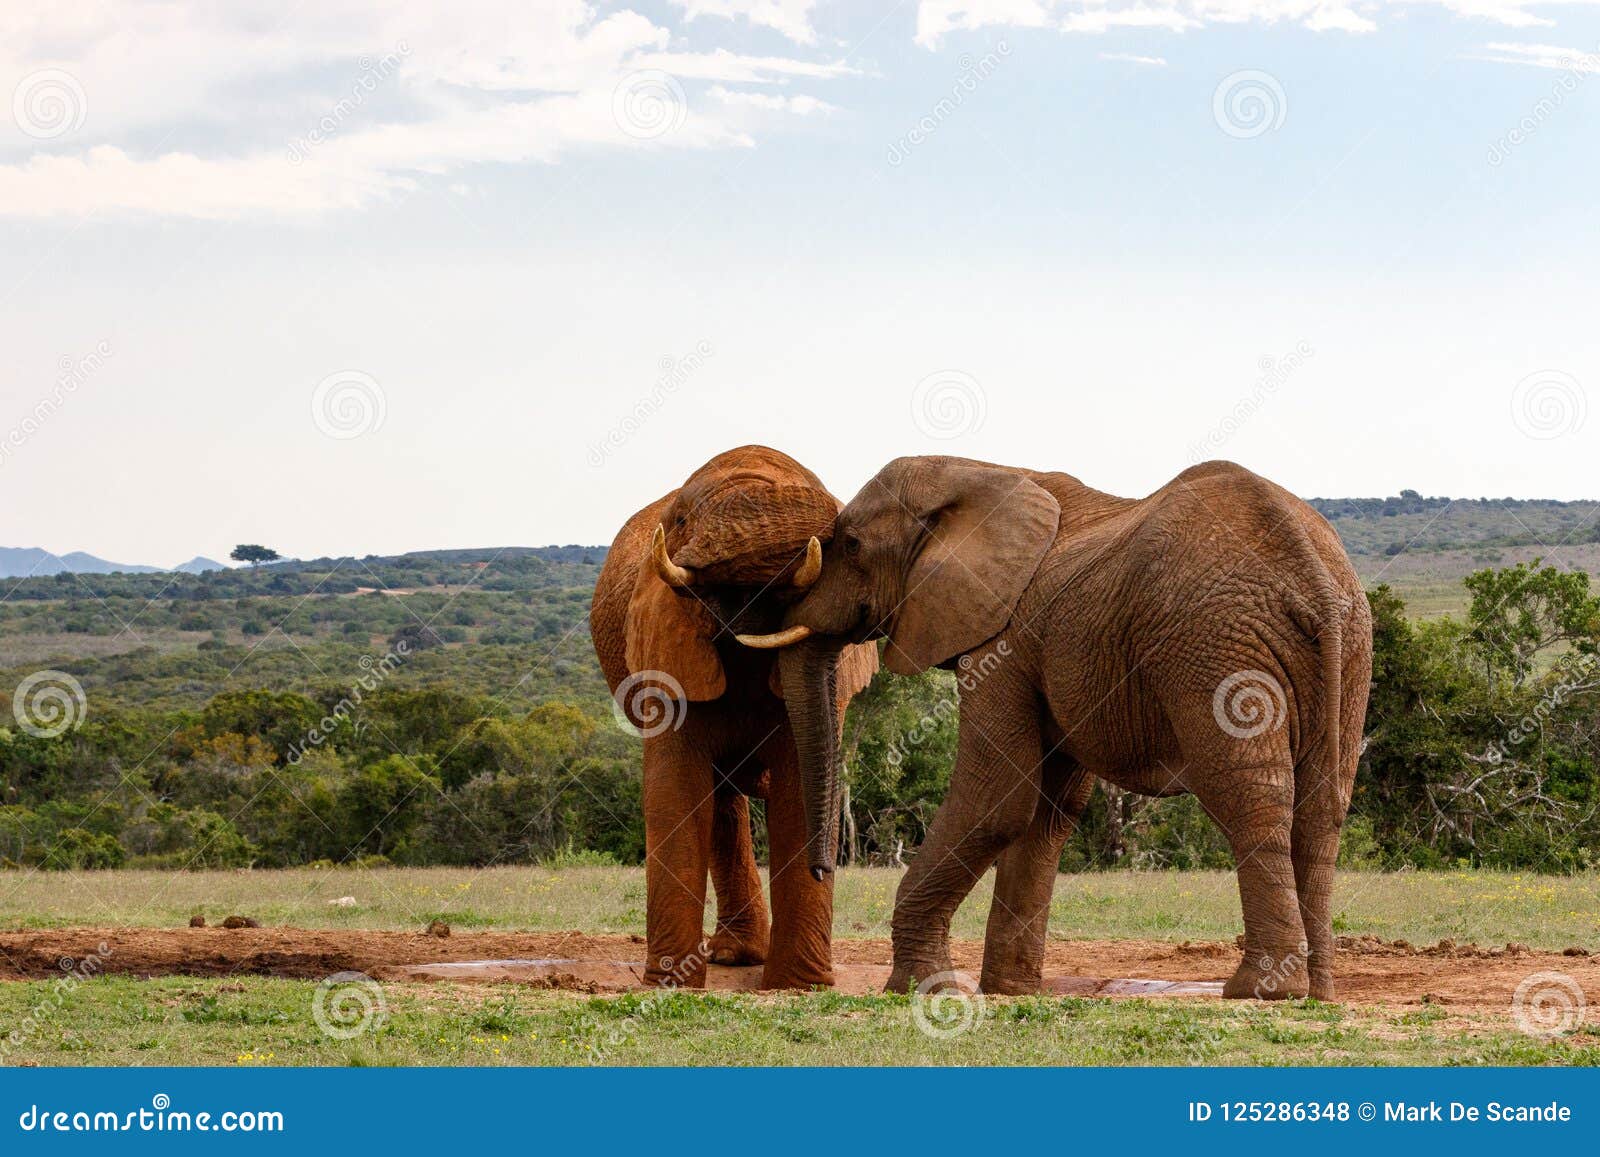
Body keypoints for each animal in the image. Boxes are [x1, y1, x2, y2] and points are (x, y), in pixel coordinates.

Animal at [590, 445, 876, 990]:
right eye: (680, 519)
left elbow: (798, 786)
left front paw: (798, 987)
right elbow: (676, 789)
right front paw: (670, 986)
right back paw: (733, 956)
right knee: (721, 800)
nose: (825, 868)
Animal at [738, 456, 1371, 1001]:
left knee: (1247, 795)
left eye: (851, 544)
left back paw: (1261, 990)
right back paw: (1317, 992)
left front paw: (924, 988)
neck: (980, 472)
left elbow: (999, 798)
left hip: (1216, 647)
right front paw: (1007, 991)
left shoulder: (1003, 643)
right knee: (1322, 809)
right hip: (1348, 648)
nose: (823, 868)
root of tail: (1313, 576)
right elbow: (1048, 809)